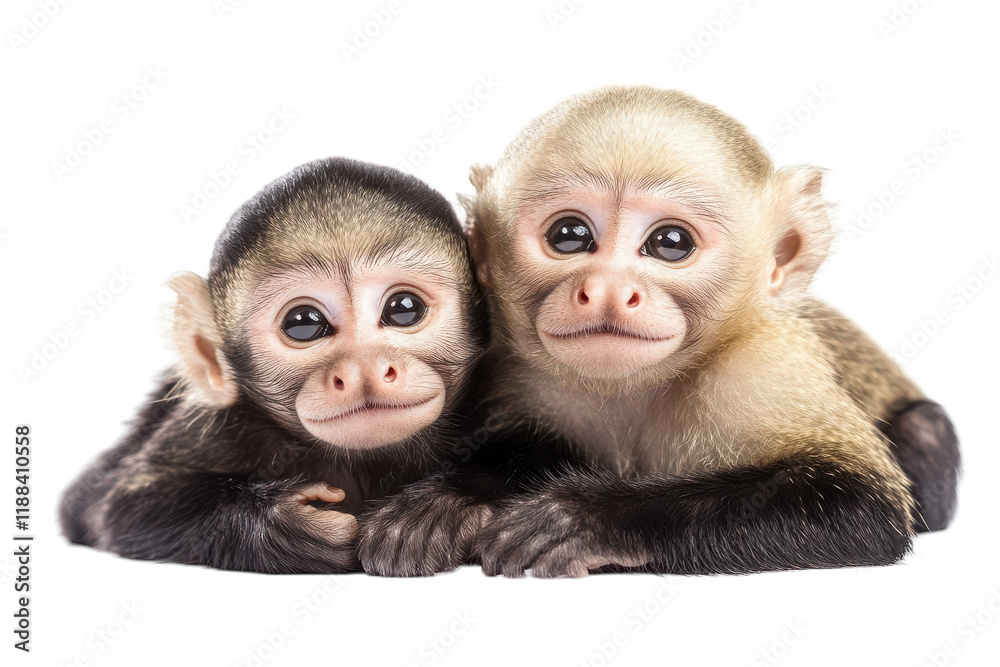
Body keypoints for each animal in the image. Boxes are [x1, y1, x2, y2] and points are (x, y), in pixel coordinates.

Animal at [60, 157, 488, 574]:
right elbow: (114, 506)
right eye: (304, 323)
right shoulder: (219, 423)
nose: (362, 370)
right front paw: (279, 526)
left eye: (404, 309)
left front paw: (434, 510)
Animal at [357, 86, 960, 578]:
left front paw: (591, 518)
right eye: (569, 235)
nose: (606, 290)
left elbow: (866, 507)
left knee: (926, 432)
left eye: (671, 243)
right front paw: (460, 496)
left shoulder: (764, 363)